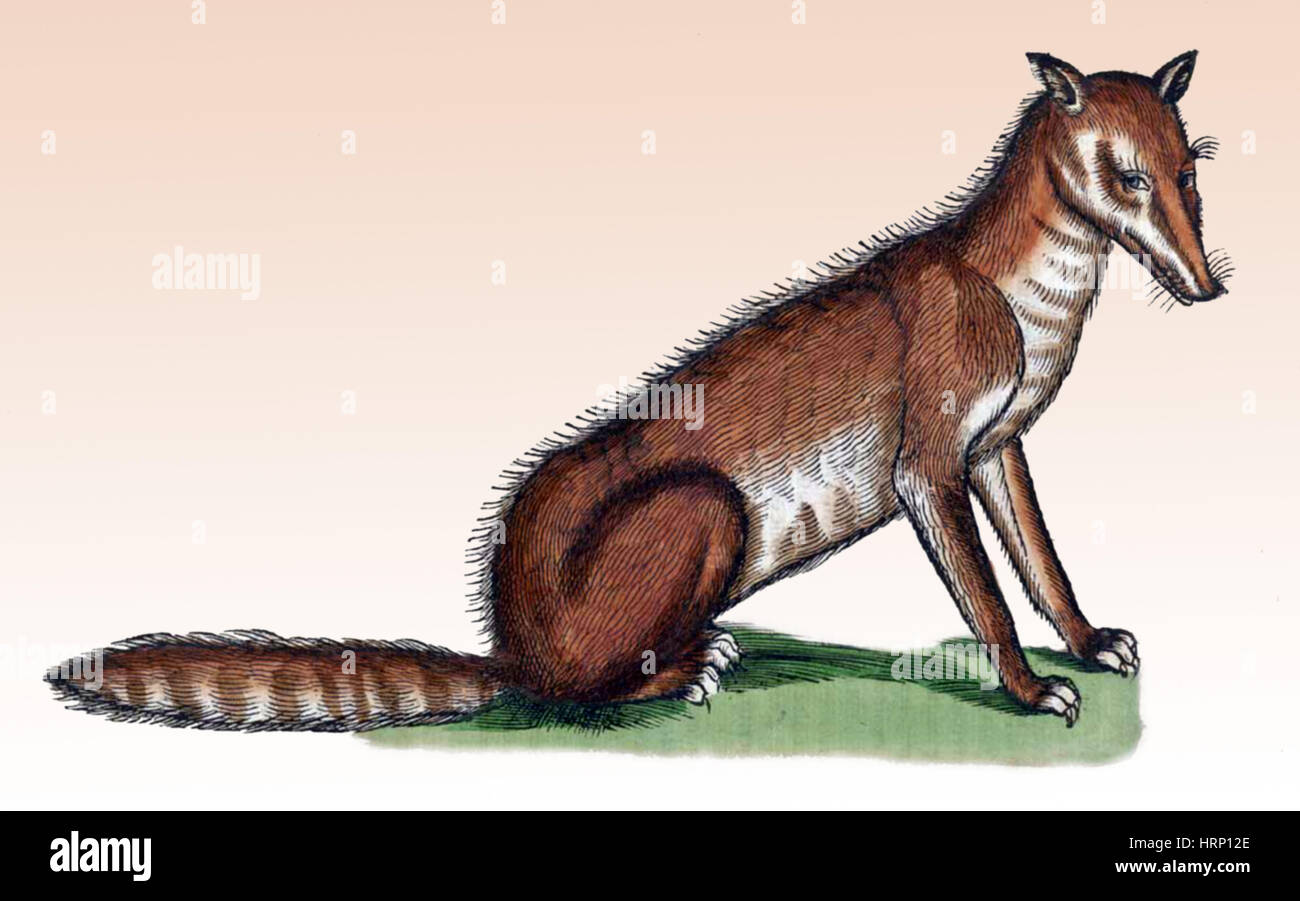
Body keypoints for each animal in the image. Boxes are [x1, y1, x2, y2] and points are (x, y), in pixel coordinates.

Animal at [48, 51, 1228, 731]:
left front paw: (1089, 640)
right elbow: (985, 594)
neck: (1020, 297)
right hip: (708, 506)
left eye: (1189, 172)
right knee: (580, 696)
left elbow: (1041, 562)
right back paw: (686, 668)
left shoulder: (999, 447)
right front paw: (1032, 690)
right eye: (1125, 176)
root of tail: (508, 645)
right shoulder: (928, 462)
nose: (1209, 286)